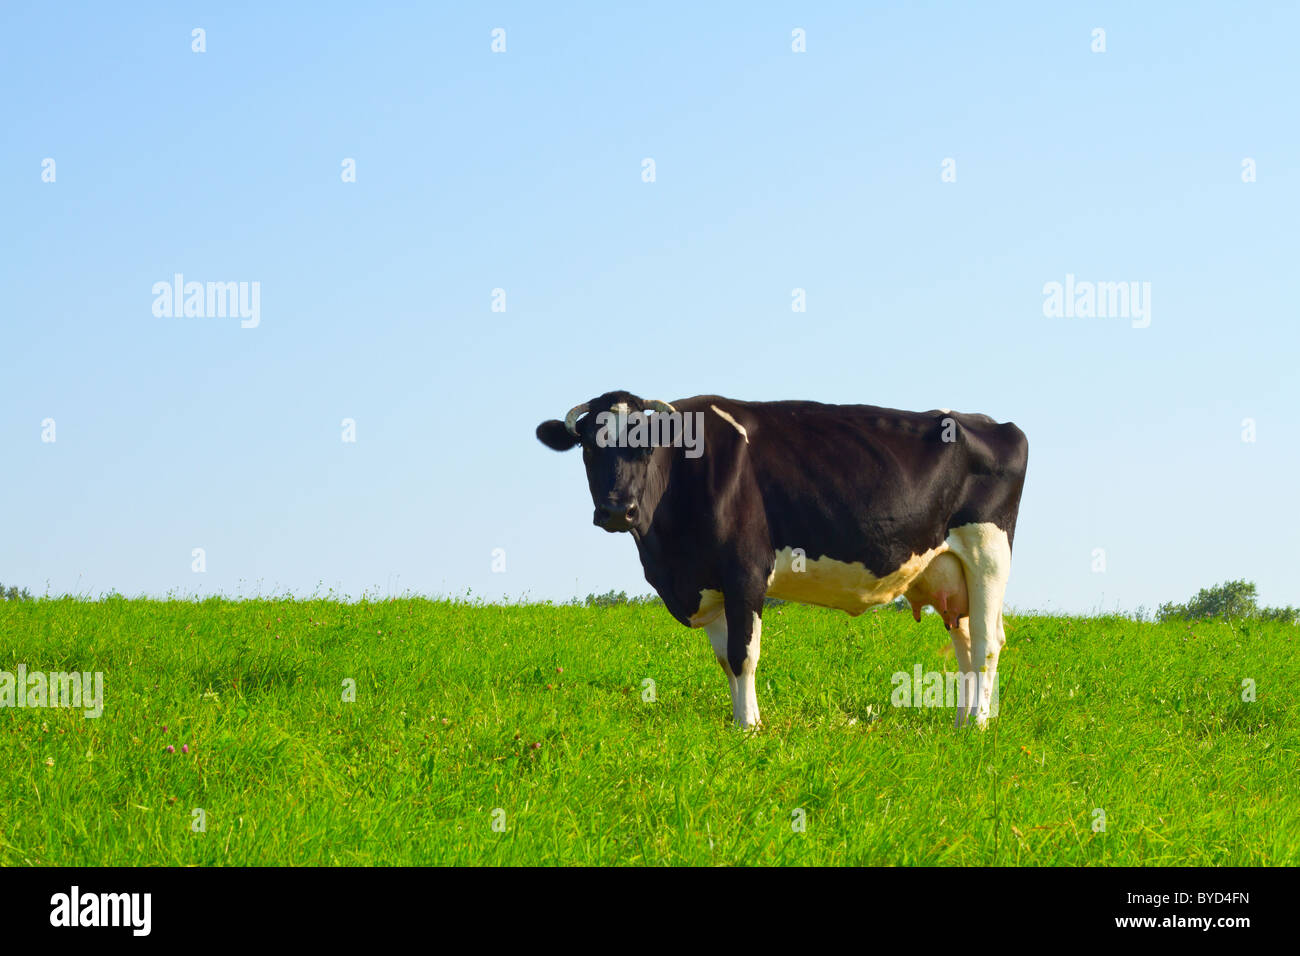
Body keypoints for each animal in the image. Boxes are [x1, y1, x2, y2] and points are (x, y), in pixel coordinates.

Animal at [536, 391, 1028, 729]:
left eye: (645, 447)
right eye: (588, 448)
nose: (617, 510)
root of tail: (992, 422)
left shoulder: (745, 572)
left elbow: (743, 654)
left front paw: (749, 726)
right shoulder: (709, 583)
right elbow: (724, 659)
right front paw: (739, 719)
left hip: (987, 555)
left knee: (987, 643)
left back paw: (978, 725)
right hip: (950, 573)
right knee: (967, 644)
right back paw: (963, 721)